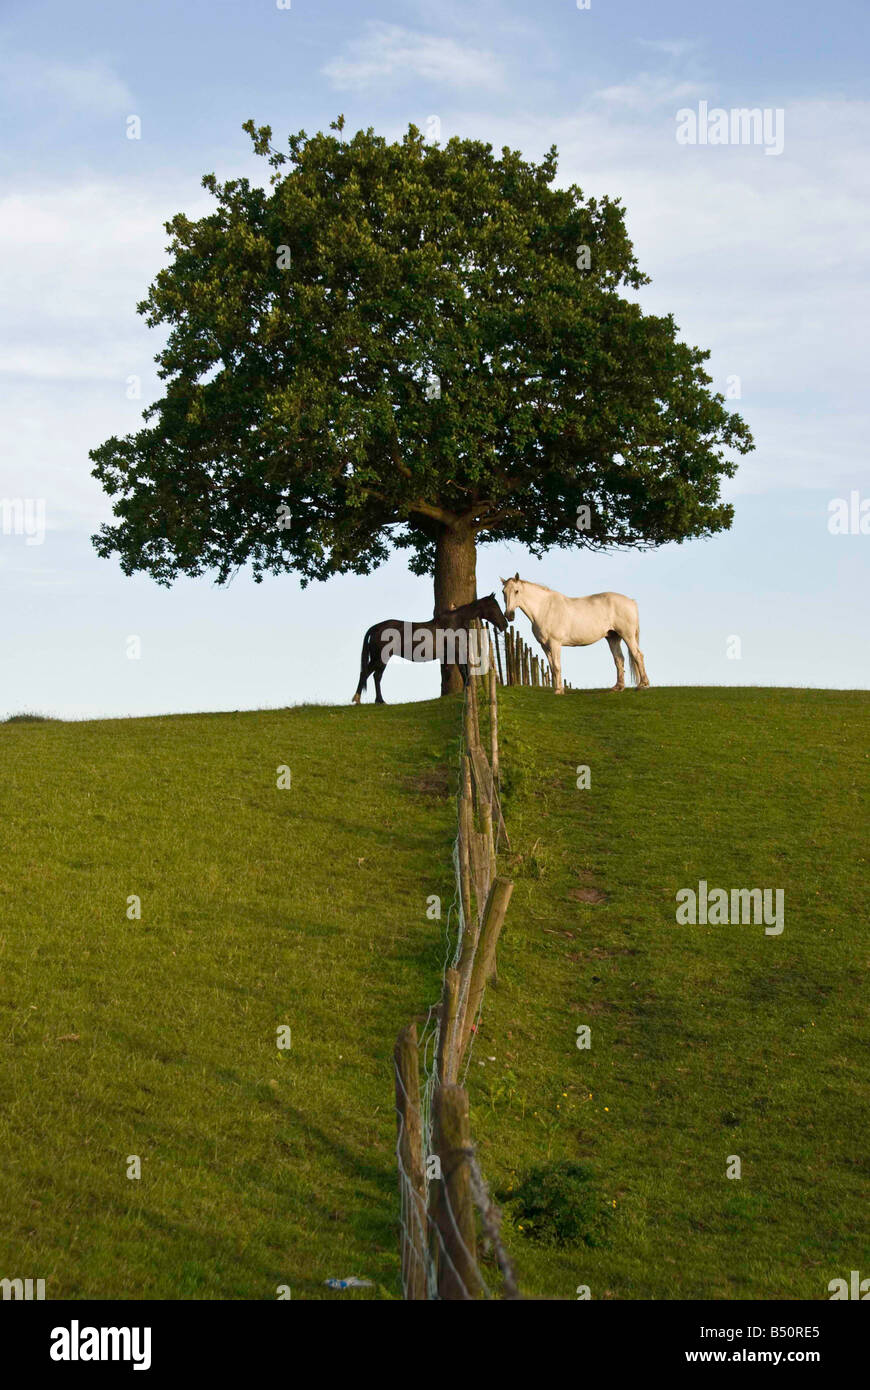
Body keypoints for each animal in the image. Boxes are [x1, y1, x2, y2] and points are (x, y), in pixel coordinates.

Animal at [352, 594, 507, 704]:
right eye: (495, 606)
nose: (505, 624)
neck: (455, 622)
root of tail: (376, 627)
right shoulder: (456, 652)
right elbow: (463, 670)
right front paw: (466, 690)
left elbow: (464, 670)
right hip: (380, 658)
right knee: (371, 675)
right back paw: (368, 699)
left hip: (379, 658)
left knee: (371, 675)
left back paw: (371, 700)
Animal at [500, 573, 650, 694]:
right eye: (503, 592)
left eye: (517, 591)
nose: (509, 615)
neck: (545, 608)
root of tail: (631, 601)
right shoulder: (545, 646)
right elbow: (552, 668)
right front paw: (558, 688)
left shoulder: (555, 644)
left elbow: (557, 666)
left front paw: (559, 691)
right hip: (613, 637)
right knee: (619, 659)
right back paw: (618, 687)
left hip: (627, 635)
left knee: (637, 655)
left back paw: (642, 685)